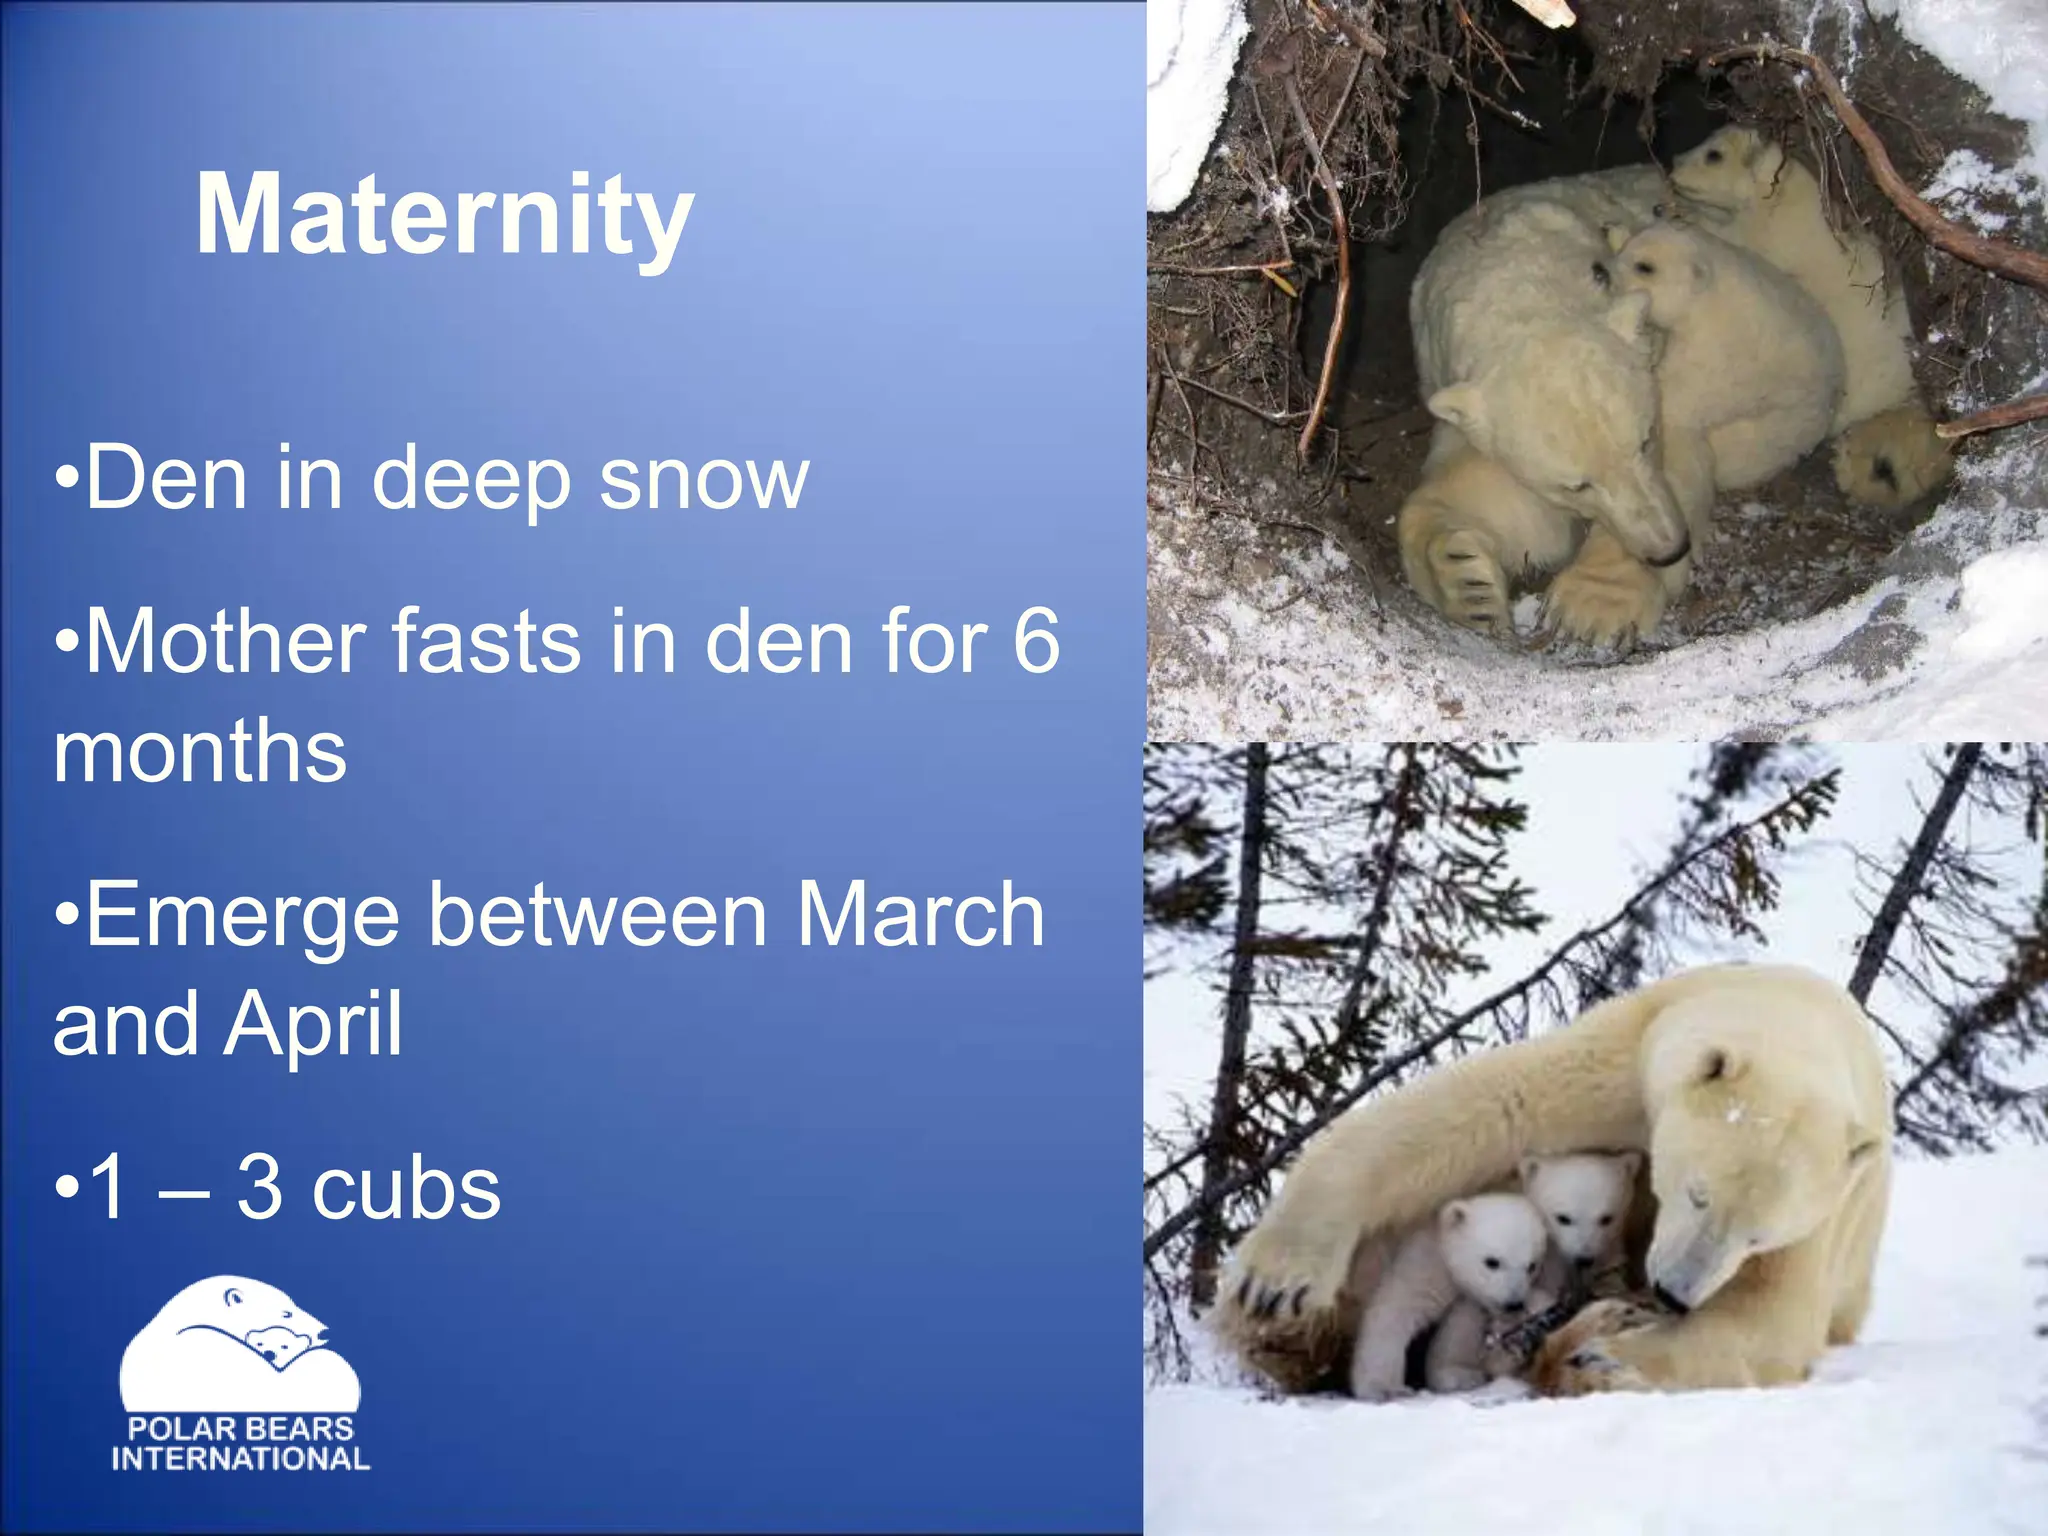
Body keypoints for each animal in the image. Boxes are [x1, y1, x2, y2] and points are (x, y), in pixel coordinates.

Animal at [1346, 1192, 1552, 1399]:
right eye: (1492, 1262)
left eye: (1532, 1266)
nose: (1514, 1304)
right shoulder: (1423, 1264)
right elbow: (1396, 1308)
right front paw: (1385, 1388)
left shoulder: (1465, 1294)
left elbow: (1461, 1324)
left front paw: (1458, 1374)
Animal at [1669, 125, 1953, 510]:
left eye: (1714, 155)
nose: (1673, 164)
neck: (1778, 190)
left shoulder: (1763, 233)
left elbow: (1729, 238)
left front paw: (1679, 213)